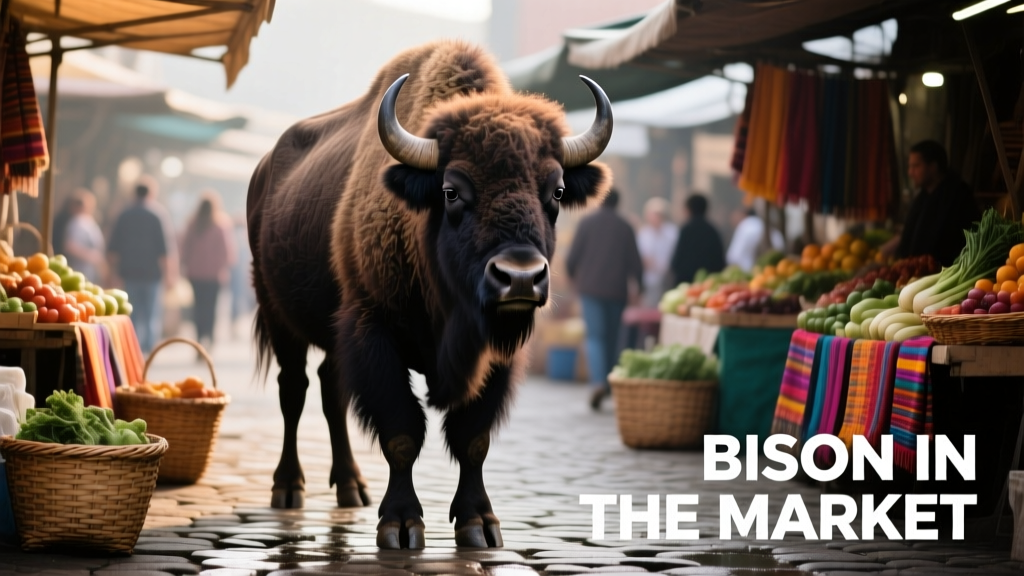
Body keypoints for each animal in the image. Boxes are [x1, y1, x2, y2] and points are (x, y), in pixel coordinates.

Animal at [247, 40, 613, 549]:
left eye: (557, 191)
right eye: (451, 191)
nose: (520, 277)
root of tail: (263, 172)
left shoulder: (494, 357)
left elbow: (472, 438)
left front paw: (480, 524)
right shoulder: (375, 333)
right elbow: (402, 433)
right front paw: (400, 525)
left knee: (330, 389)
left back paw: (351, 487)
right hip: (279, 316)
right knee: (294, 390)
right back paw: (288, 488)